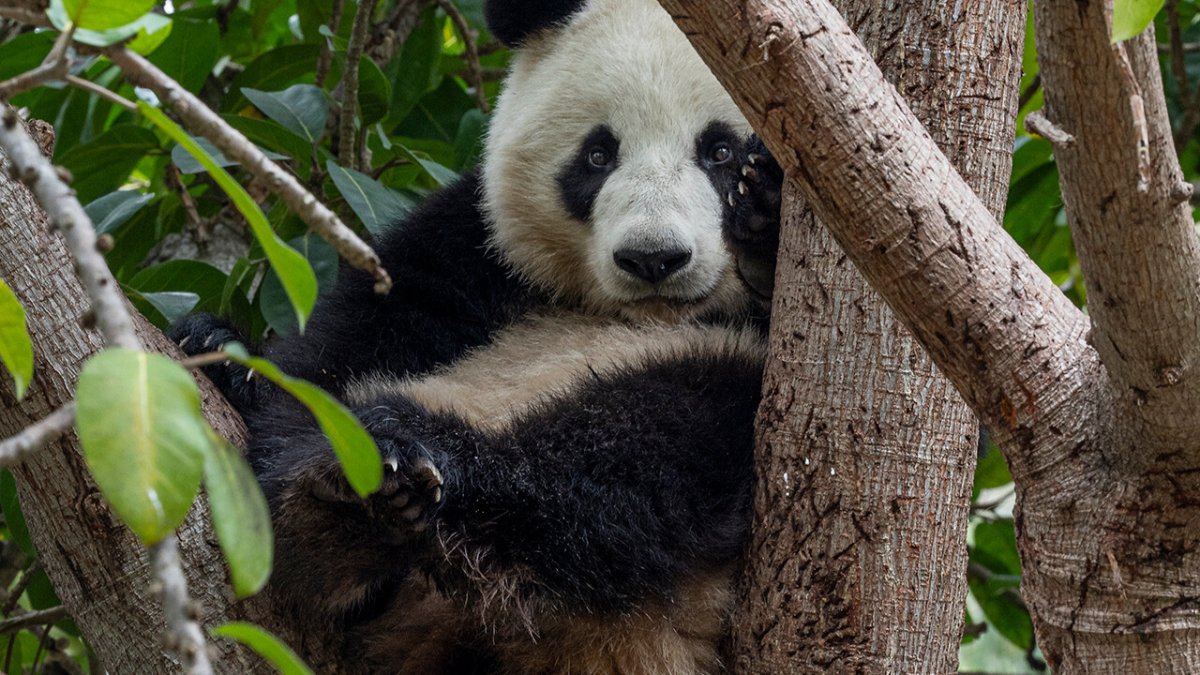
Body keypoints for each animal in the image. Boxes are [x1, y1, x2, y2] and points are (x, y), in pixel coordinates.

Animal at [175, 0, 783, 672]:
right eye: (598, 156)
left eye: (720, 150)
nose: (653, 259)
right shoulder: (480, 249)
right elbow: (360, 332)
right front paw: (239, 369)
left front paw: (765, 208)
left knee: (640, 451)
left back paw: (400, 463)